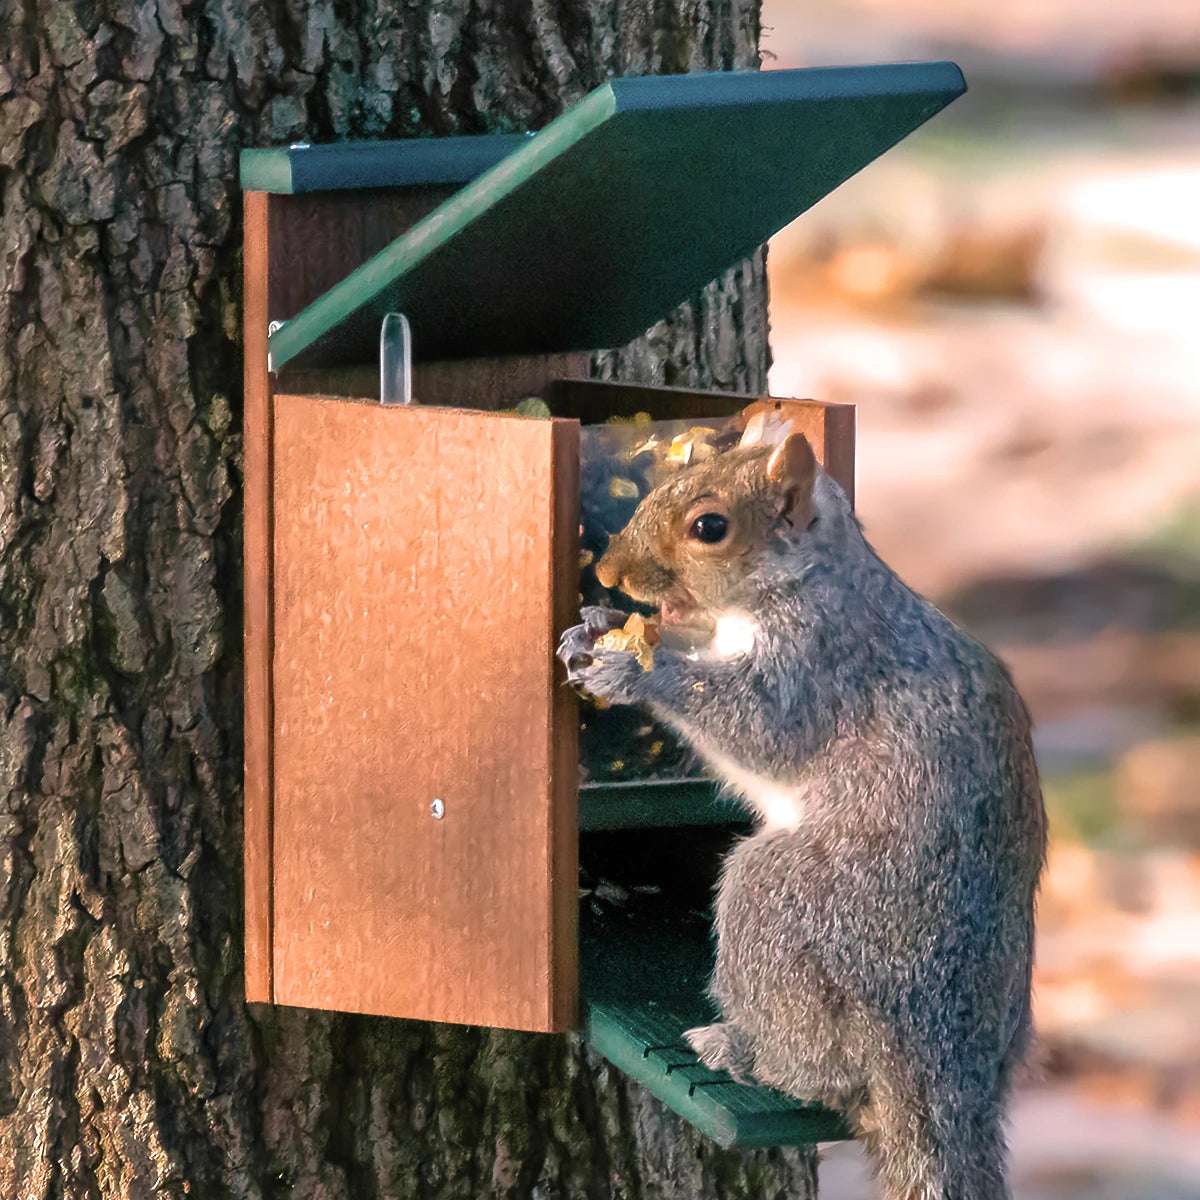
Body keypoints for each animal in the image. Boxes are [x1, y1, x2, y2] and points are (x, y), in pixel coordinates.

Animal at [559, 432, 1046, 1200]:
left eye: (709, 527)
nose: (610, 572)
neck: (804, 581)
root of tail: (940, 1068)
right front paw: (599, 627)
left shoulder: (817, 665)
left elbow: (757, 728)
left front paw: (640, 668)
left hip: (790, 903)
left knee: (821, 1071)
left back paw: (740, 1048)